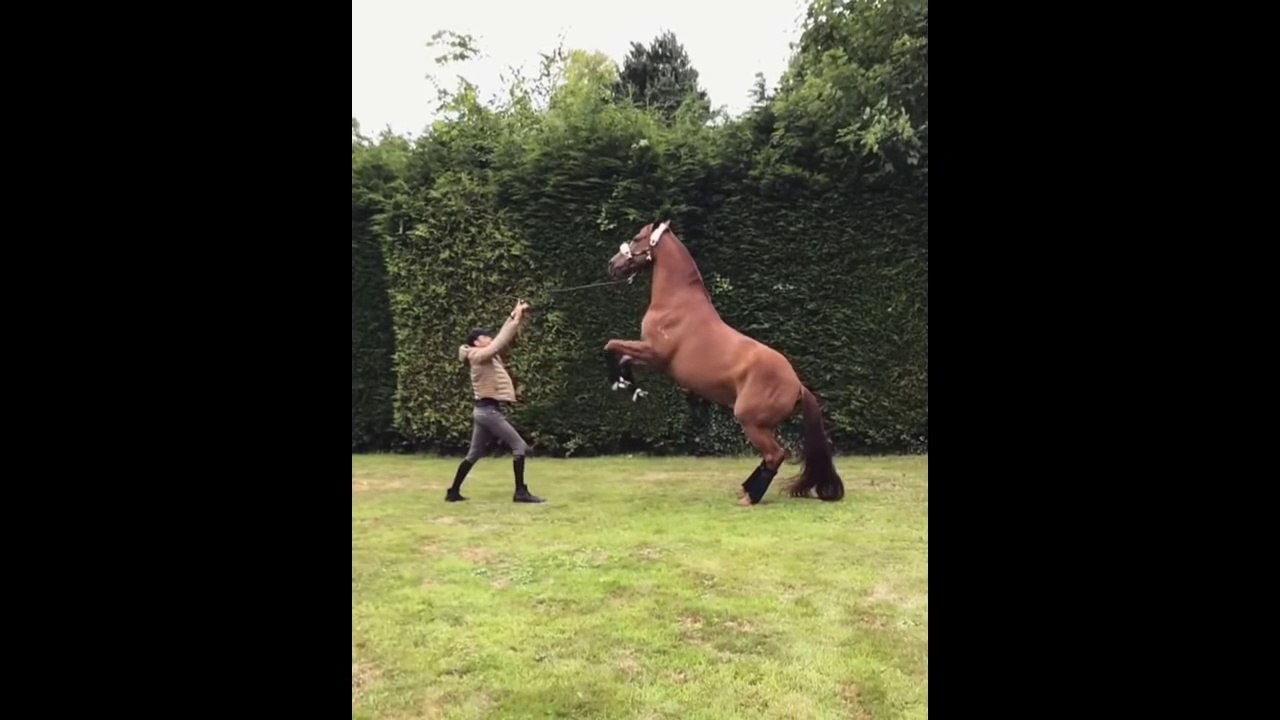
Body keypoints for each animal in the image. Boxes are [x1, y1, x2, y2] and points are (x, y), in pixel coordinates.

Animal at [603, 220, 845, 506]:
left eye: (636, 237)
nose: (612, 264)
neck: (676, 303)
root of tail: (797, 385)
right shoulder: (651, 358)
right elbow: (623, 355)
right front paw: (627, 384)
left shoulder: (654, 354)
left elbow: (611, 345)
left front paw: (619, 382)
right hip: (763, 425)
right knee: (770, 457)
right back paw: (746, 489)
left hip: (750, 421)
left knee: (775, 455)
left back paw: (750, 497)